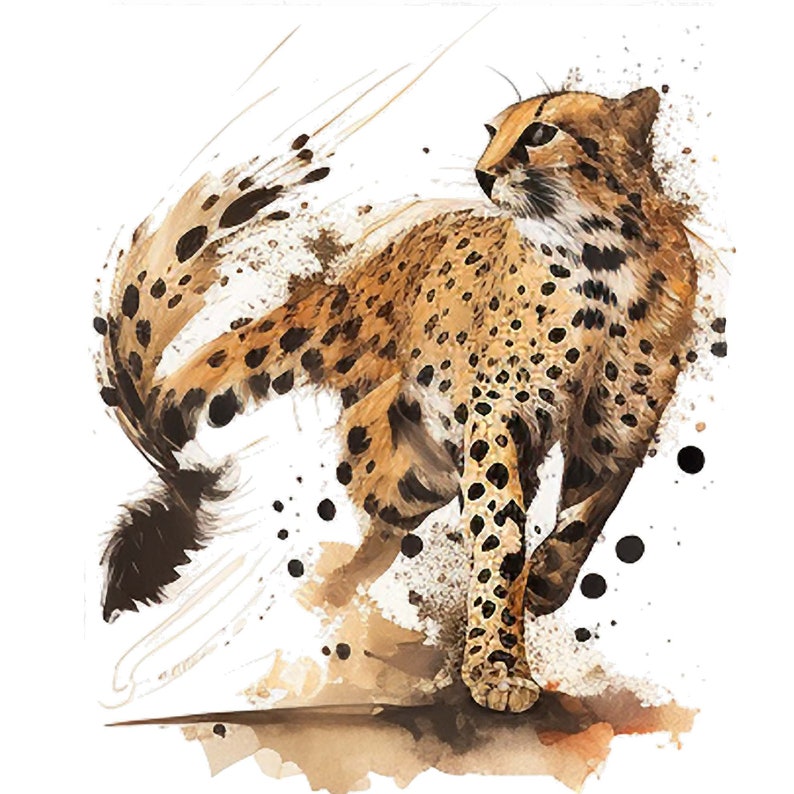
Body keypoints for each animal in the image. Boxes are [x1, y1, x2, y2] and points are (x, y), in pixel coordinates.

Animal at [95, 85, 697, 713]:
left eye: (539, 133)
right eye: (492, 131)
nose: (483, 174)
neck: (603, 264)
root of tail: (364, 274)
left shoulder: (618, 427)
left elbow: (585, 518)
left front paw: (545, 581)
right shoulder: (500, 410)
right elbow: (498, 529)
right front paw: (497, 667)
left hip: (411, 475)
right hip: (383, 424)